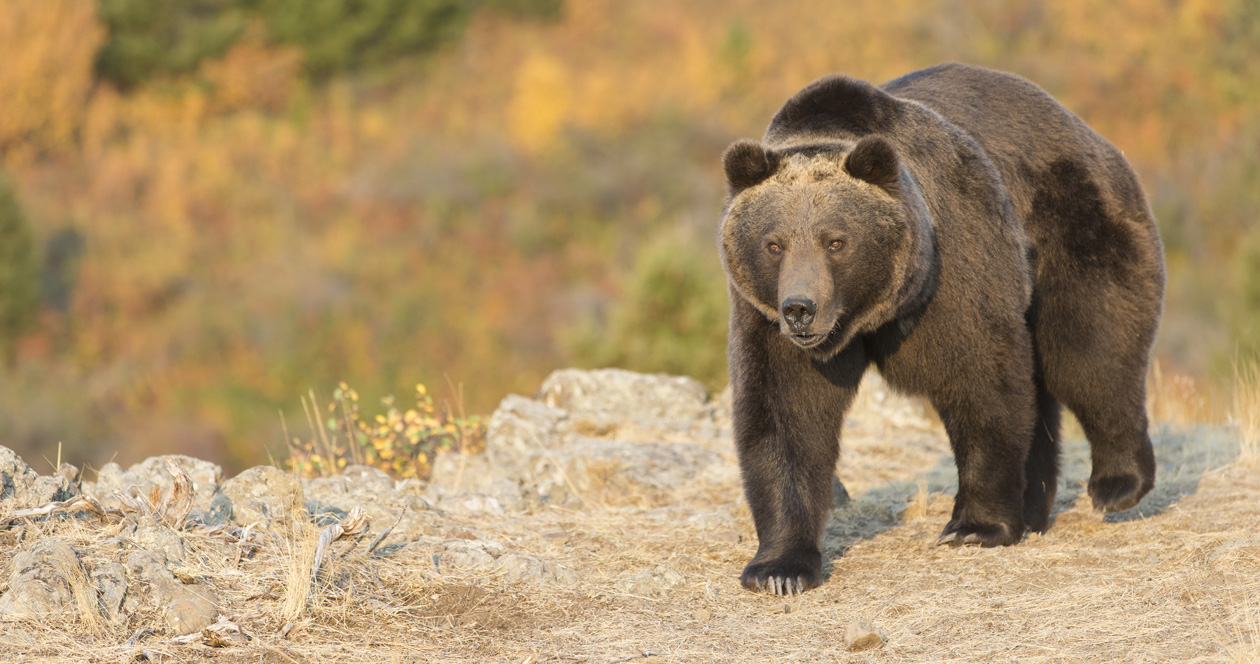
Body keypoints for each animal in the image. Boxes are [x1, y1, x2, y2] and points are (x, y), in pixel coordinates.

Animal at [719, 63, 1165, 596]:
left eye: (836, 241)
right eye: (774, 243)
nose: (800, 310)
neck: (876, 310)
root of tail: (1082, 127)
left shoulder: (955, 262)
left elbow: (981, 379)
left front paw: (974, 526)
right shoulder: (764, 320)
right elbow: (784, 414)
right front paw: (779, 569)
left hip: (1071, 225)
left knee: (1089, 348)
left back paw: (1117, 484)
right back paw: (1034, 506)